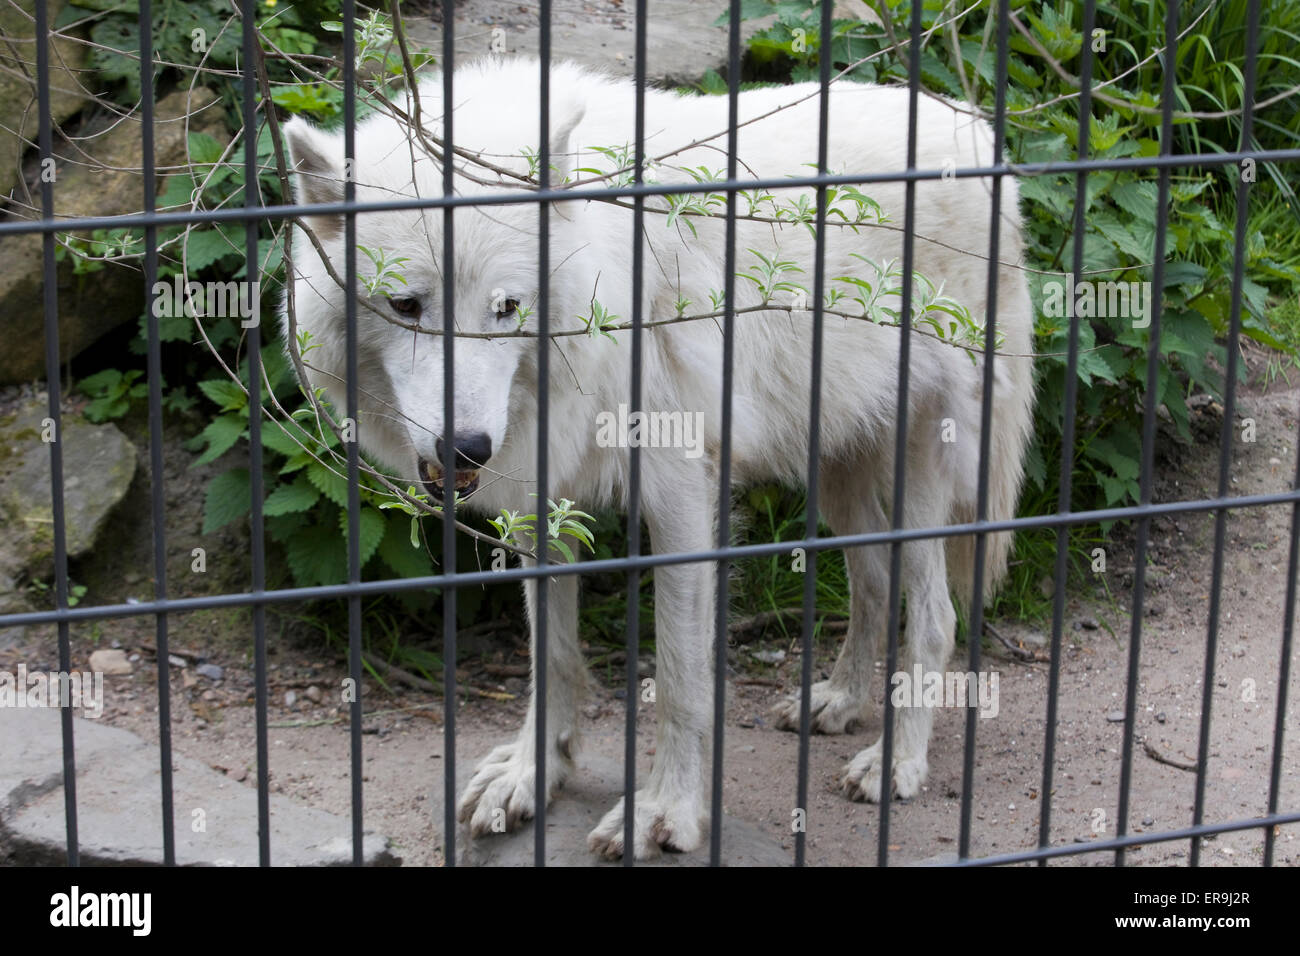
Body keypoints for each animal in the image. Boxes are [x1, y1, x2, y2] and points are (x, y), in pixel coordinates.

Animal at [282, 58, 1035, 860]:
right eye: (406, 305)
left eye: (506, 309)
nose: (468, 447)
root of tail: (981, 135)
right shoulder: (542, 502)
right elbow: (551, 657)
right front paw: (532, 774)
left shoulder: (682, 500)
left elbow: (679, 677)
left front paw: (664, 812)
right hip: (839, 473)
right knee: (874, 583)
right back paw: (839, 702)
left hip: (921, 471)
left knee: (935, 614)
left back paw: (895, 761)